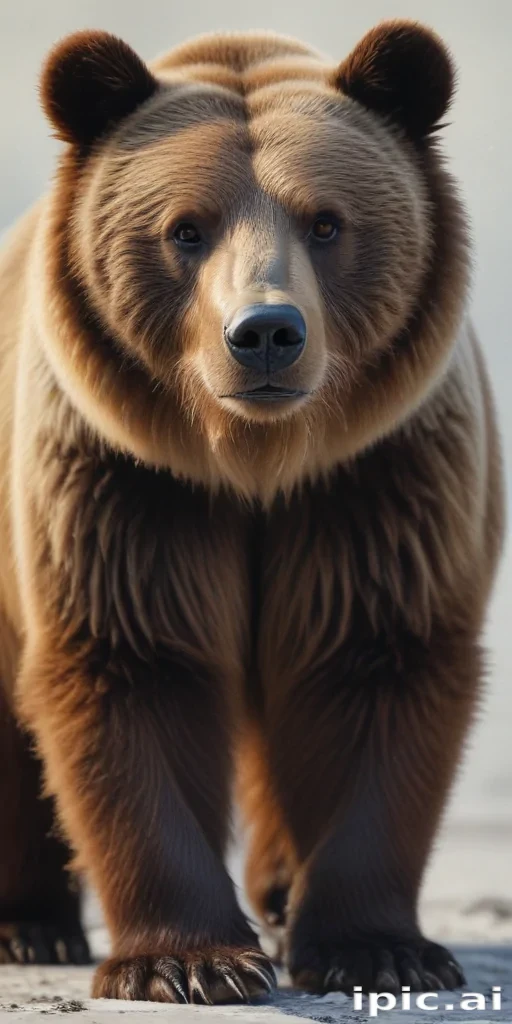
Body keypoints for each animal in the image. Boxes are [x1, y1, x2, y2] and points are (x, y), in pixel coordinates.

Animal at [0, 18, 504, 1002]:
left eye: (327, 221)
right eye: (185, 230)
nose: (266, 332)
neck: (256, 465)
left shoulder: (377, 481)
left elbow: (372, 662)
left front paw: (376, 946)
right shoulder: (127, 484)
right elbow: (135, 663)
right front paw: (184, 961)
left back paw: (274, 891)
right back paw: (30, 925)